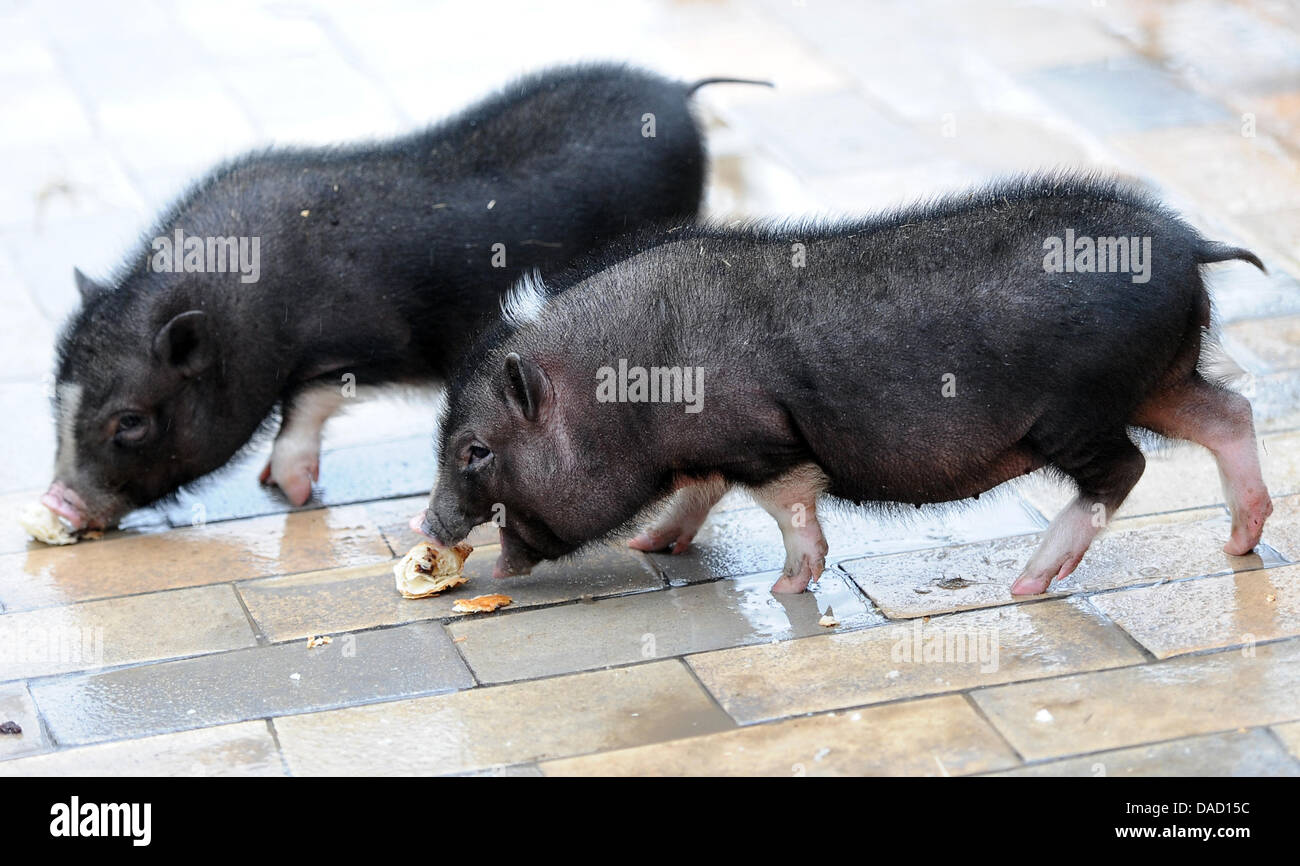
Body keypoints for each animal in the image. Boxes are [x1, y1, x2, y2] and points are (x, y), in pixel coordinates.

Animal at [43, 64, 771, 533]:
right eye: (59, 401)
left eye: (129, 421)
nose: (56, 502)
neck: (252, 309)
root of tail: (679, 91)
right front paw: (269, 486)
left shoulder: (375, 342)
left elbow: (309, 397)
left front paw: (292, 489)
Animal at [416, 173, 1274, 595]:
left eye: (474, 451)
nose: (428, 526)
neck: (629, 385)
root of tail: (1191, 243)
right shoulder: (710, 452)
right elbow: (699, 492)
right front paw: (648, 543)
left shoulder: (761, 438)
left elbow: (789, 502)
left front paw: (786, 592)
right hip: (1161, 379)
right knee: (1230, 411)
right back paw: (1238, 541)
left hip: (1079, 409)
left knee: (1124, 469)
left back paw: (1030, 583)